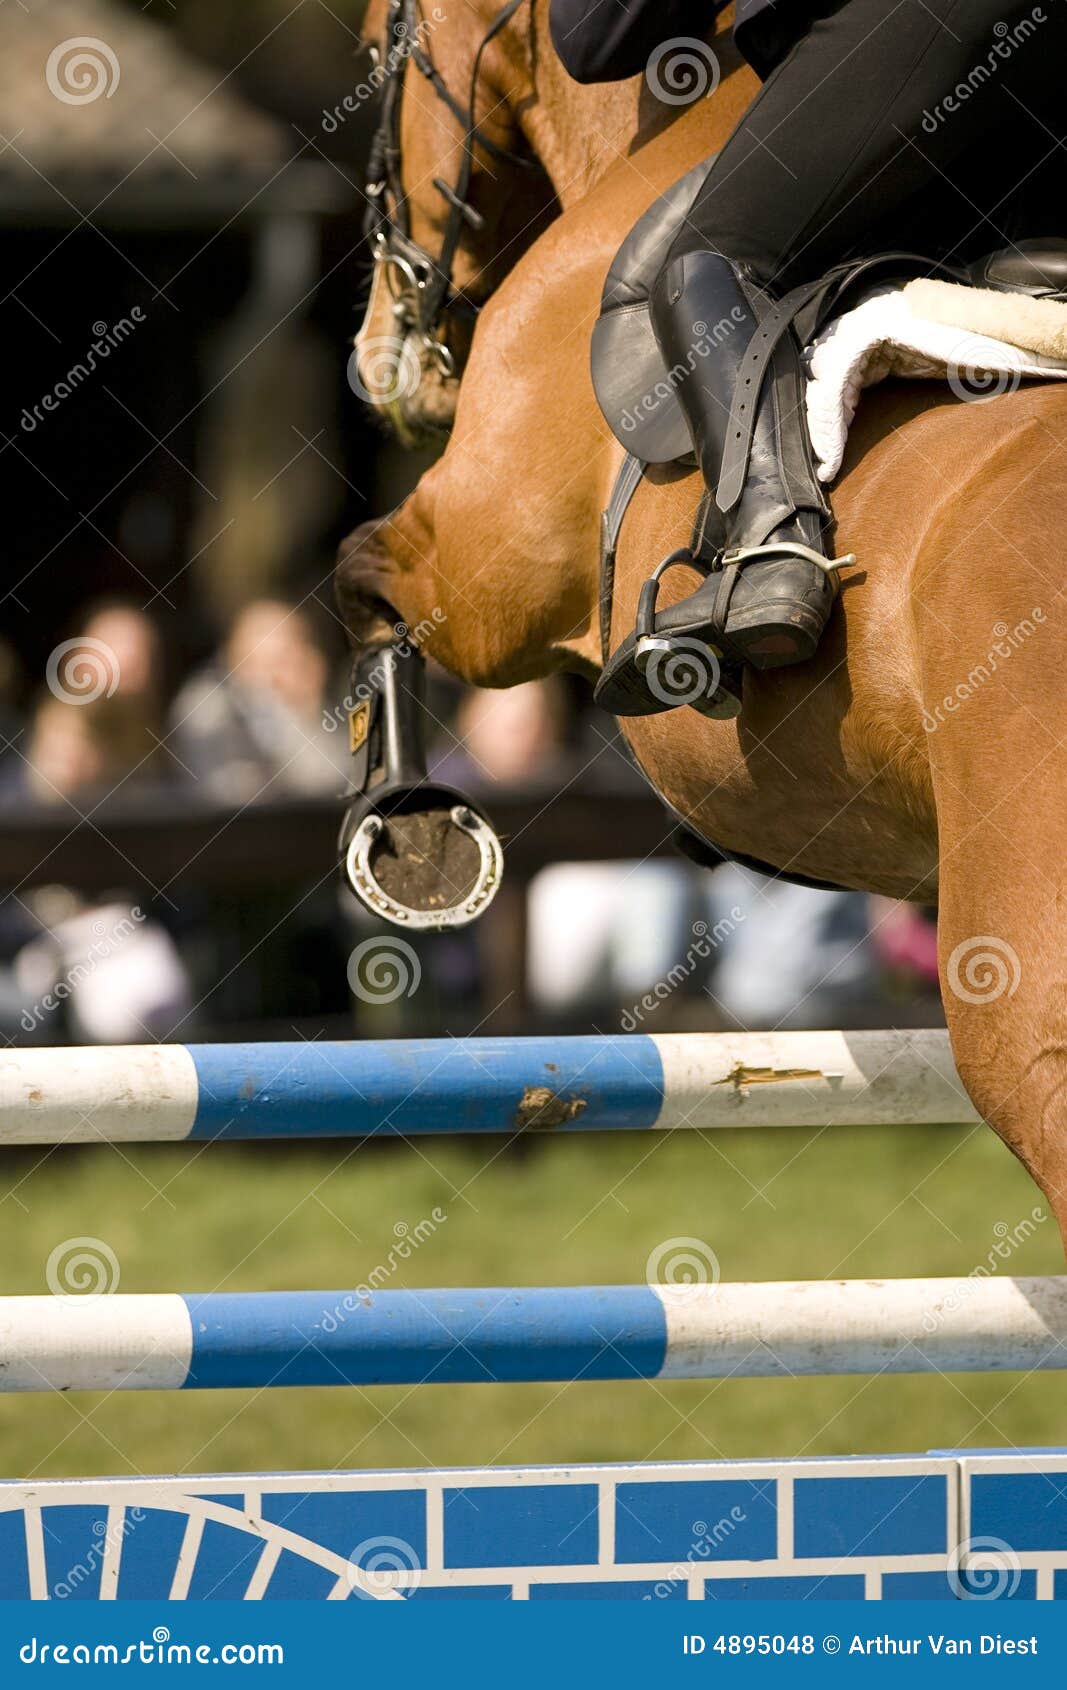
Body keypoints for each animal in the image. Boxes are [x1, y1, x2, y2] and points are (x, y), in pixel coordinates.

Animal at [337, 0, 1067, 1247]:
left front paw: (409, 826)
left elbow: (361, 584)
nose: (379, 355)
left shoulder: (476, 573)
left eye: (375, 45)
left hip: (1022, 999)